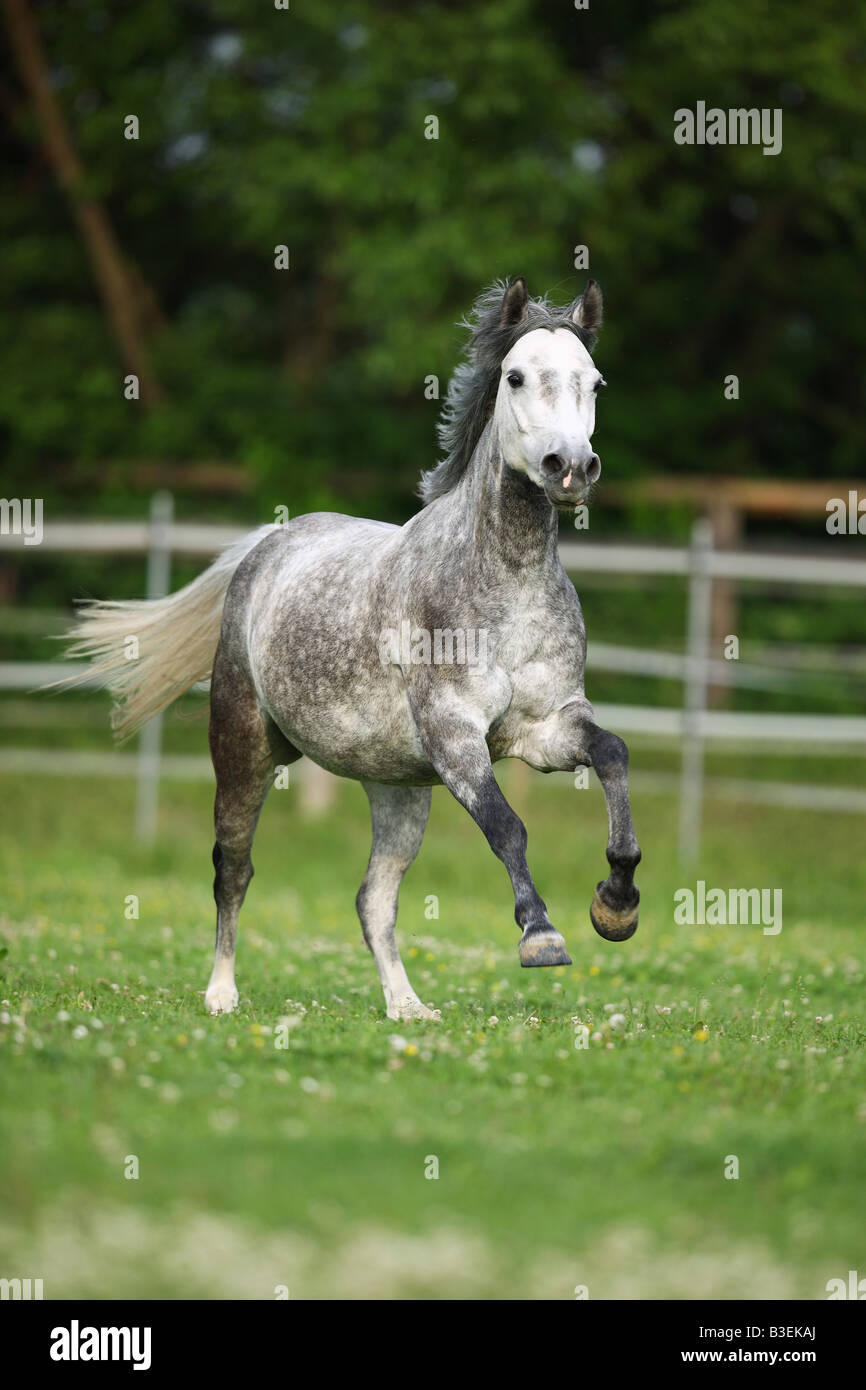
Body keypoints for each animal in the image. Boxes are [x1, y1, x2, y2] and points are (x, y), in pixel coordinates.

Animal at [62, 276, 641, 1021]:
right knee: (232, 870)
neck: (503, 584)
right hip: (243, 750)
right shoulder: (456, 737)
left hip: (396, 788)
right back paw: (221, 994)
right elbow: (507, 826)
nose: (569, 468)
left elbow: (612, 754)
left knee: (373, 899)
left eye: (593, 382)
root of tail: (268, 546)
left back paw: (408, 1008)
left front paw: (616, 906)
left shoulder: (546, 730)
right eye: (515, 376)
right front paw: (542, 936)